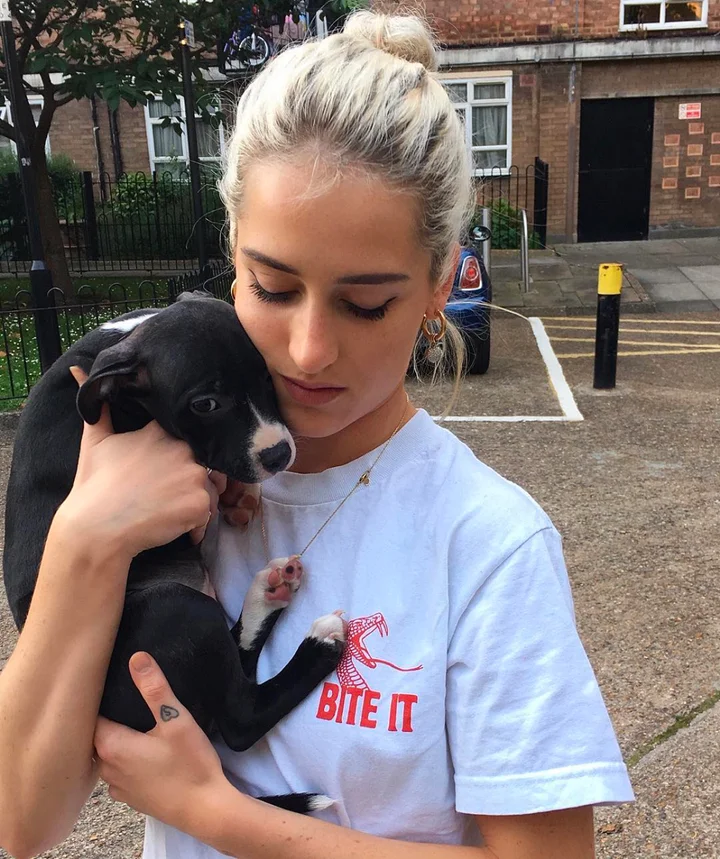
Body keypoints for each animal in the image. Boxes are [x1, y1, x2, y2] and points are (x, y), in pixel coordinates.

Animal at [3, 291, 344, 813]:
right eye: (205, 404)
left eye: (268, 378)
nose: (278, 455)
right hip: (174, 606)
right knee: (239, 719)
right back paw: (318, 643)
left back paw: (267, 595)